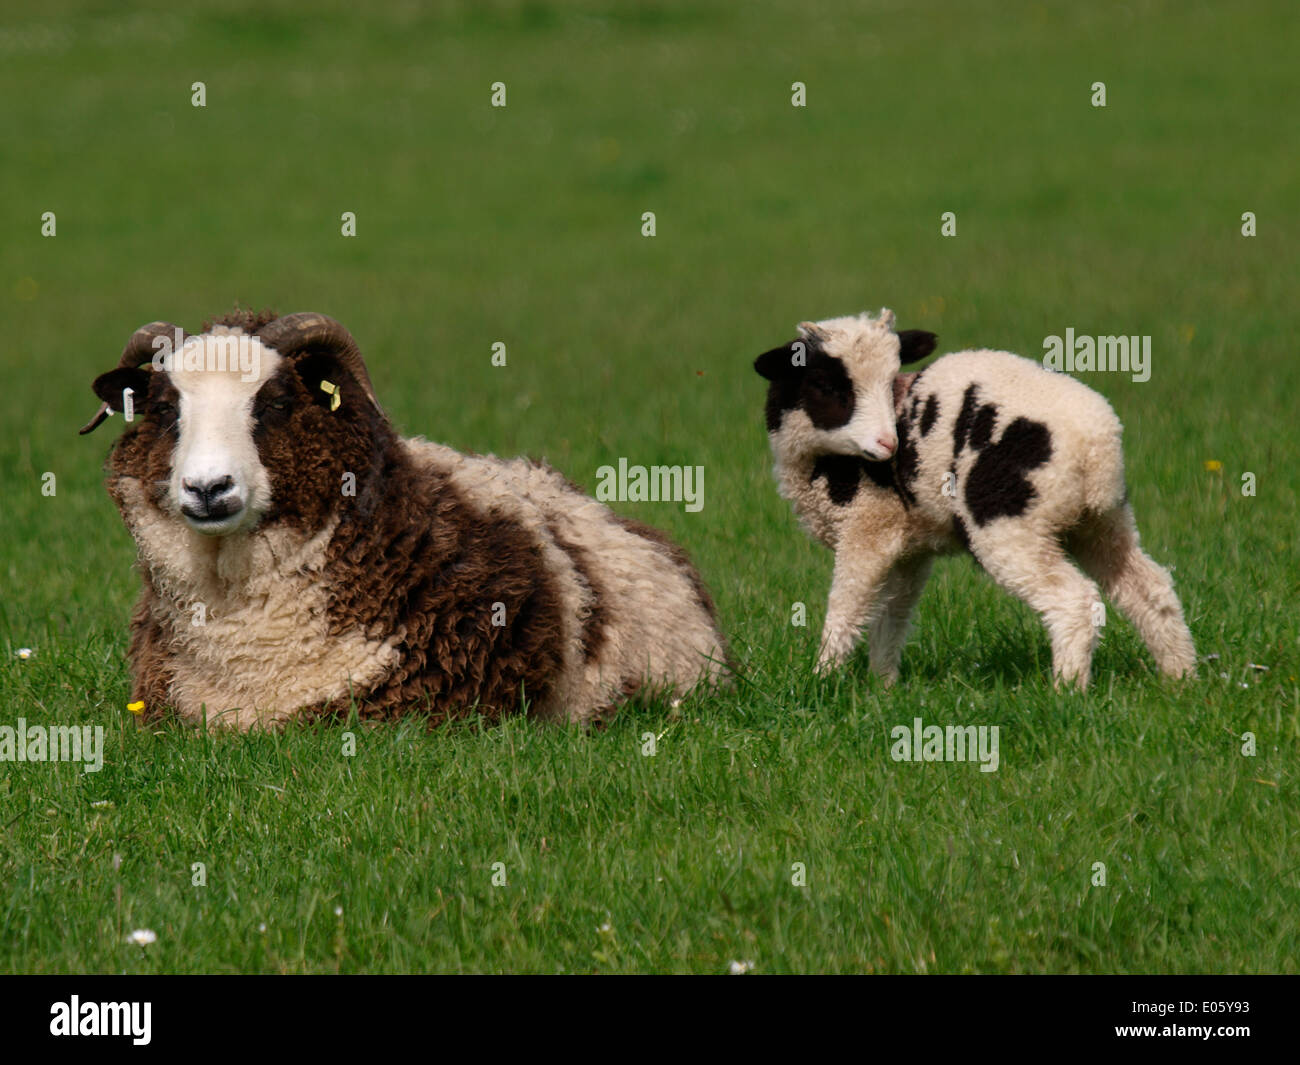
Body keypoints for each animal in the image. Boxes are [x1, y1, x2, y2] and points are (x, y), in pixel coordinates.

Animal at [754, 308, 1196, 689]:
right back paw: (1180, 678)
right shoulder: (909, 547)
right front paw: (884, 686)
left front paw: (822, 680)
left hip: (1007, 523)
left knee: (1073, 600)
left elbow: (846, 608)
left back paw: (1068, 690)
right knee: (1149, 587)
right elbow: (891, 616)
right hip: (1102, 522)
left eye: (891, 378)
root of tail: (1097, 445)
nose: (888, 445)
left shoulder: (868, 529)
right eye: (826, 386)